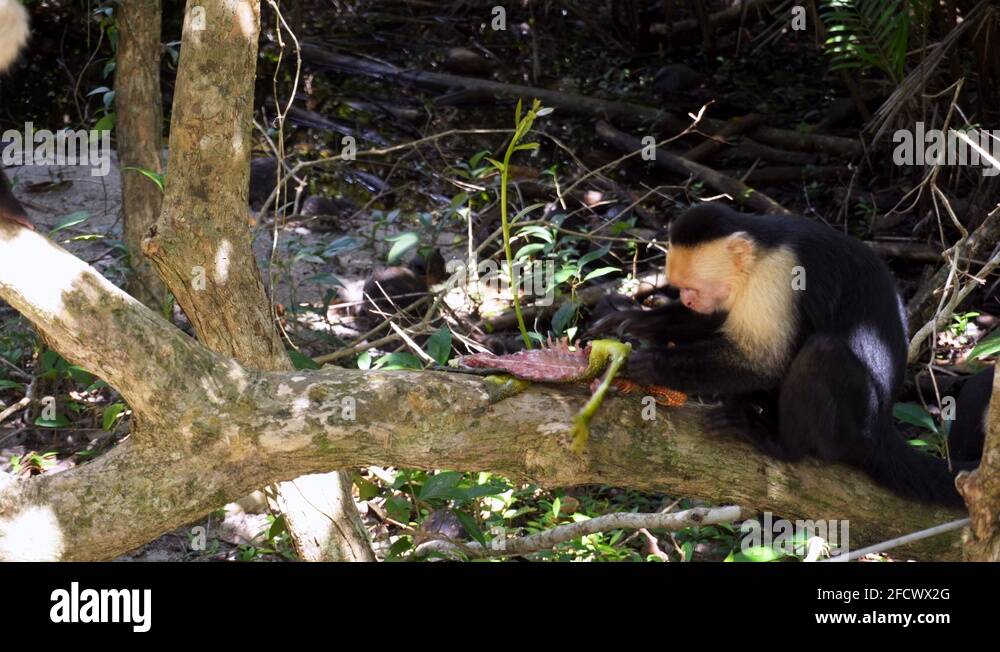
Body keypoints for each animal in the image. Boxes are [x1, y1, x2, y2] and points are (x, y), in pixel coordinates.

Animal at [590, 202, 971, 507]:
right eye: (681, 289)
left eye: (692, 288)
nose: (686, 299)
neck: (760, 250)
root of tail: (880, 429)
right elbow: (714, 321)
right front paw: (634, 320)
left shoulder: (777, 276)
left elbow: (765, 361)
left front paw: (650, 364)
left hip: (852, 428)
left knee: (821, 354)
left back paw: (778, 443)